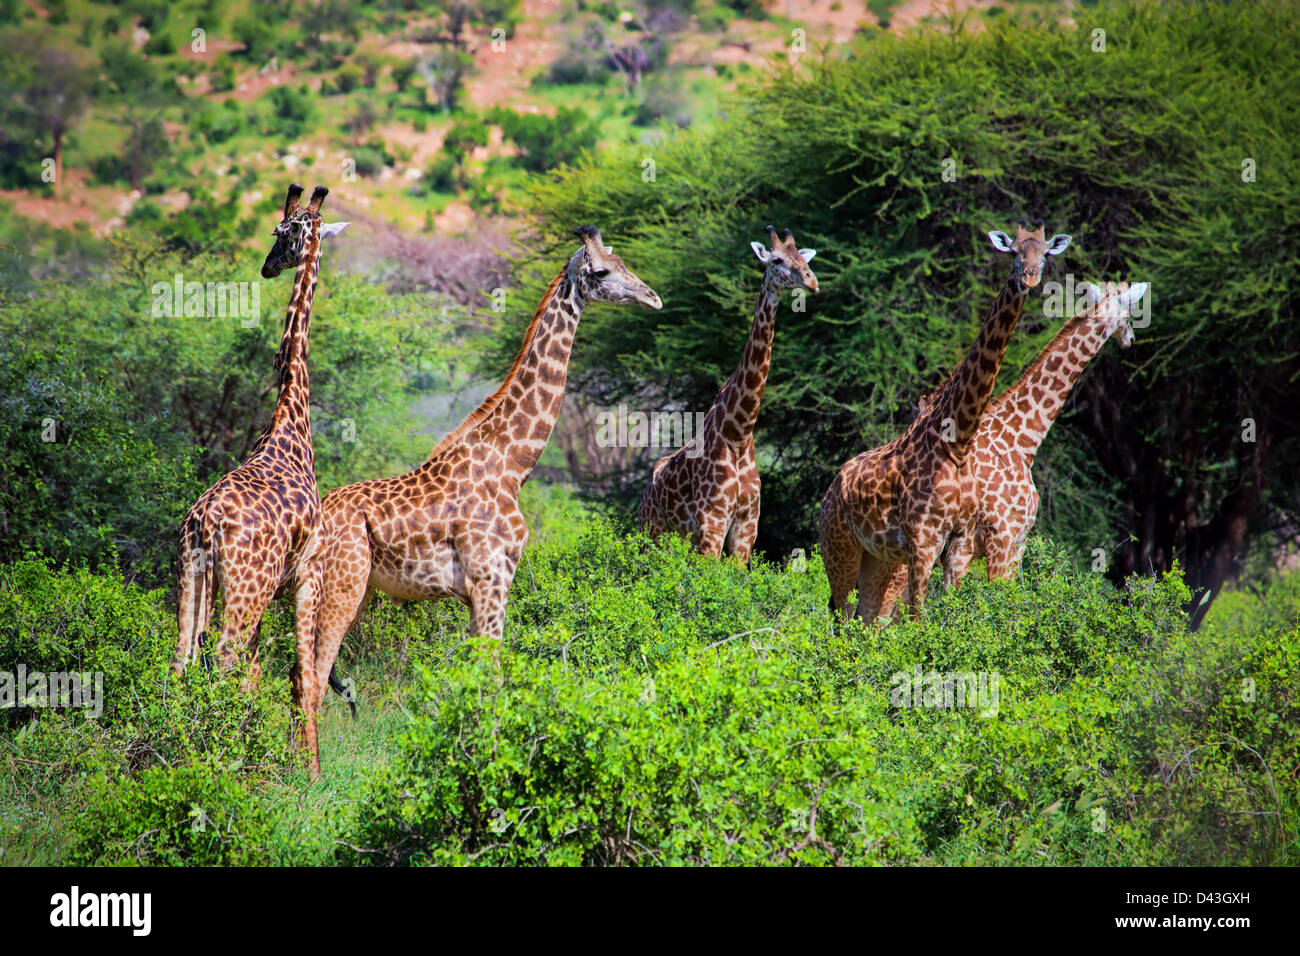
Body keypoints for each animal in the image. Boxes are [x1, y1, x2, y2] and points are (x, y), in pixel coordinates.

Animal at [173, 183, 349, 766]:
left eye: (284, 232)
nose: (268, 266)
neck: (290, 418)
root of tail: (204, 523)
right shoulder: (307, 572)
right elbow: (303, 674)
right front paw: (309, 770)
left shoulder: (282, 585)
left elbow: (263, 674)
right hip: (246, 589)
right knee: (222, 660)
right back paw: (220, 761)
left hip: (193, 577)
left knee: (183, 659)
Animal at [306, 227, 660, 768]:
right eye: (601, 271)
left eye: (623, 261)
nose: (653, 297)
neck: (514, 462)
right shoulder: (492, 578)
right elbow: (492, 679)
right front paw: (492, 769)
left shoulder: (476, 591)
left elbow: (475, 679)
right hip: (341, 585)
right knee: (309, 678)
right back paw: (308, 774)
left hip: (354, 589)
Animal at [637, 226, 818, 562]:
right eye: (776, 260)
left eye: (803, 258)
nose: (812, 282)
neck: (739, 433)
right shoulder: (712, 522)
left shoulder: (747, 527)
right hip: (651, 532)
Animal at [818, 219, 1071, 623]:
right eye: (1014, 253)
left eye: (1044, 255)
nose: (1029, 278)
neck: (956, 442)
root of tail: (830, 489)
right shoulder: (924, 540)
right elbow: (920, 618)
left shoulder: (958, 541)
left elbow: (950, 614)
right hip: (839, 547)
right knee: (841, 616)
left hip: (877, 557)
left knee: (866, 618)